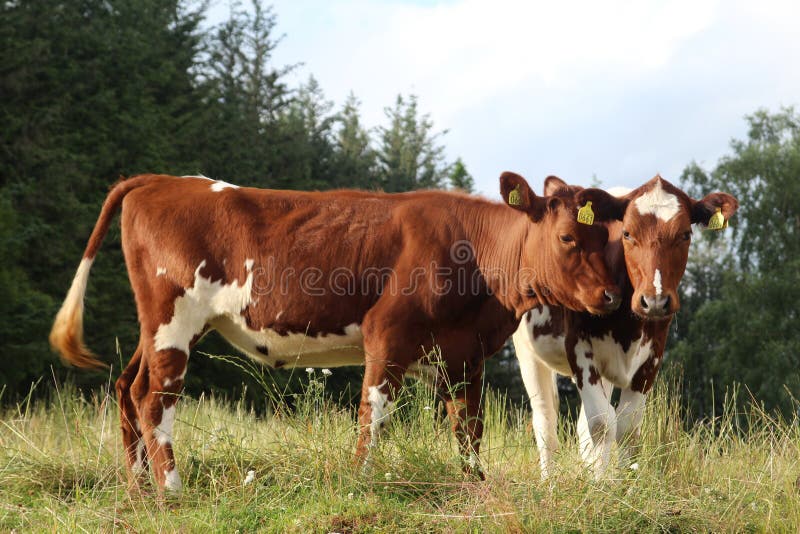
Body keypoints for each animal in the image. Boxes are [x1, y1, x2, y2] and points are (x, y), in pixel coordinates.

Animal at [50, 172, 626, 494]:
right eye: (569, 237)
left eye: (610, 237)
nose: (612, 296)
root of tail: (160, 180)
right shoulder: (386, 337)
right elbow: (373, 419)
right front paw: (360, 484)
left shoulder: (464, 356)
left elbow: (470, 430)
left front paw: (475, 488)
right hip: (176, 318)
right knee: (155, 400)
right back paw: (171, 491)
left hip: (159, 329)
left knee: (127, 388)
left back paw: (139, 490)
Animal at [512, 175, 738, 478]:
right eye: (628, 234)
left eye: (685, 235)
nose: (654, 300)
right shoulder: (579, 347)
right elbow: (600, 423)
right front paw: (597, 484)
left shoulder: (653, 355)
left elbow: (627, 426)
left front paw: (622, 482)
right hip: (528, 353)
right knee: (545, 419)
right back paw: (549, 480)